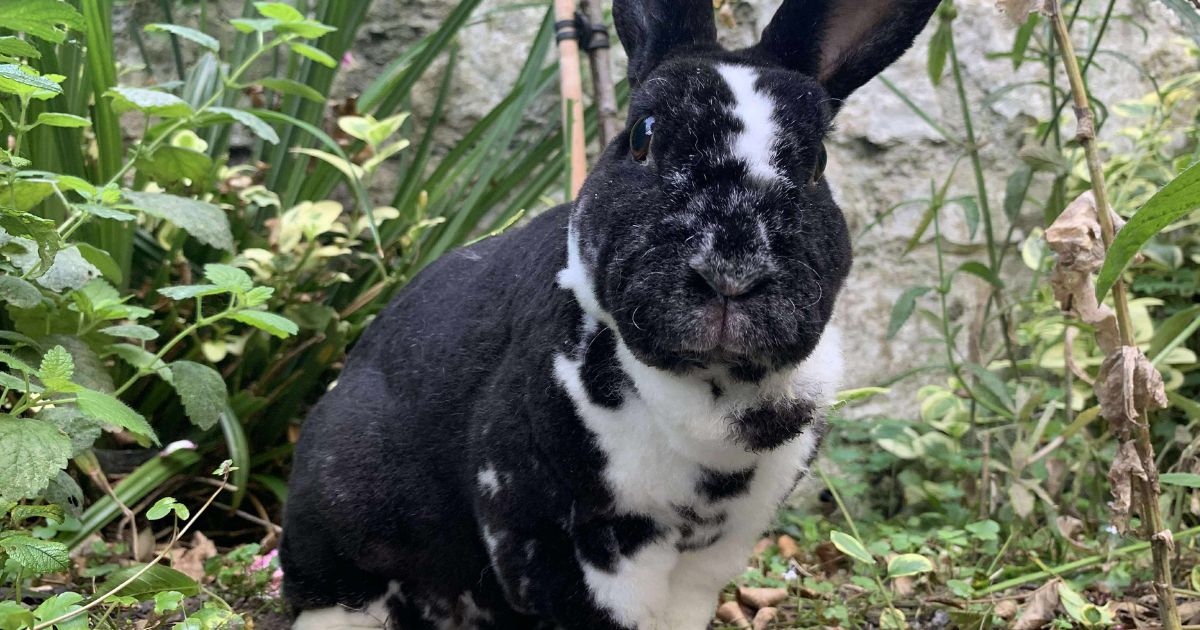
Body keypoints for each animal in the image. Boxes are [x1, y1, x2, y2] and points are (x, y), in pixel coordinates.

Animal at [280, 0, 940, 628]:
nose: (732, 270)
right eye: (642, 137)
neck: (713, 391)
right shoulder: (568, 539)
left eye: (818, 163)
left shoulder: (717, 552)